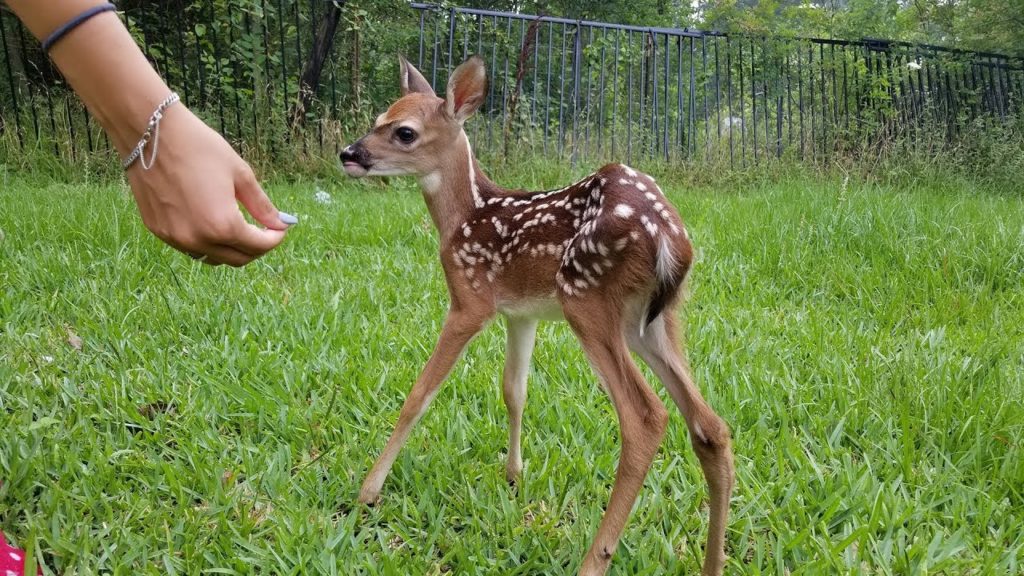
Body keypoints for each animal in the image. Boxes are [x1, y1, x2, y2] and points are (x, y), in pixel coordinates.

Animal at [339, 55, 735, 576]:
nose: (348, 153)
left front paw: (368, 492)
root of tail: (673, 237)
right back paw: (713, 563)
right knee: (710, 426)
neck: (462, 218)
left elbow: (420, 394)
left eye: (404, 132)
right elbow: (514, 391)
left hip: (586, 299)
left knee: (646, 418)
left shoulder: (470, 300)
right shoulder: (520, 314)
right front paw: (513, 475)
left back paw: (593, 561)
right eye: (378, 118)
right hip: (651, 321)